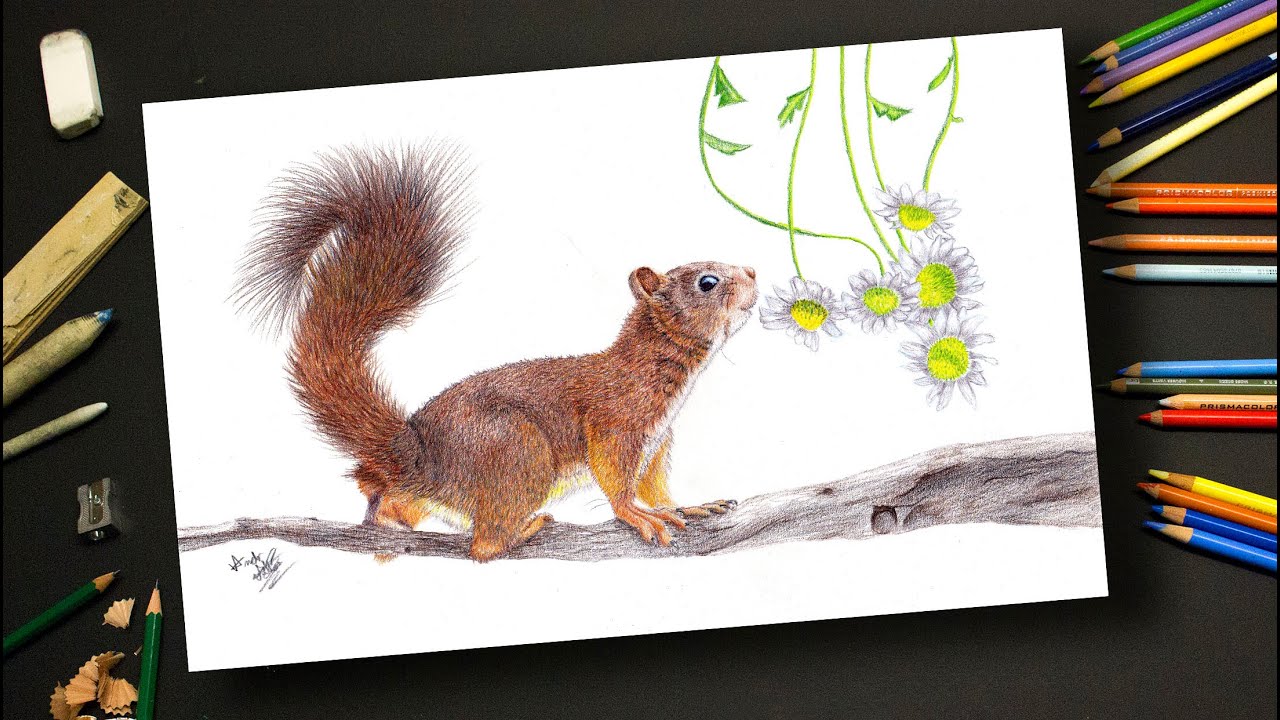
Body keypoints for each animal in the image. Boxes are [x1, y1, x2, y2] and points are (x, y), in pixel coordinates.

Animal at [234, 145, 758, 562]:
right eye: (707, 282)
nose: (753, 271)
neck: (660, 372)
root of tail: (417, 455)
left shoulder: (656, 443)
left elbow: (656, 484)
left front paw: (684, 506)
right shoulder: (616, 422)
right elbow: (616, 477)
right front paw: (636, 513)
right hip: (518, 452)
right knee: (483, 547)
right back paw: (523, 529)